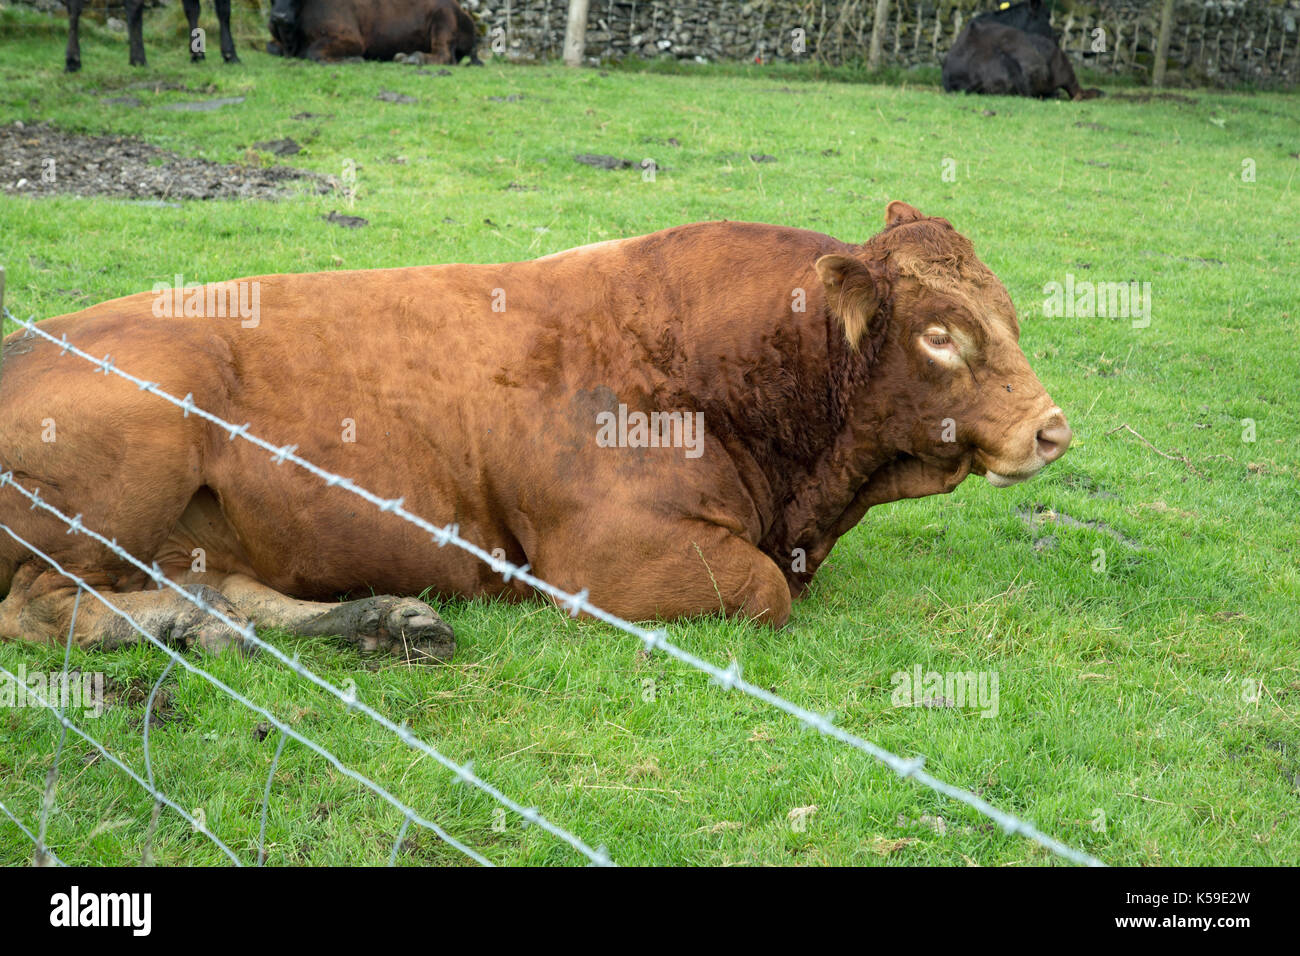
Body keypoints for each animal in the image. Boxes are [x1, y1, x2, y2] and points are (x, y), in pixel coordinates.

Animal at [0, 203, 1071, 663]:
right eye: (941, 334)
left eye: (1011, 315)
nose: (1052, 430)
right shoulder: (610, 558)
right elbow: (765, 593)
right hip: (134, 456)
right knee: (43, 606)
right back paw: (178, 625)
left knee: (220, 586)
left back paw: (374, 621)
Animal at [64, 0, 239, 73]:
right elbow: (223, 10)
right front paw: (230, 55)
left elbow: (192, 9)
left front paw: (197, 54)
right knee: (133, 5)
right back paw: (139, 59)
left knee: (73, 6)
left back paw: (73, 61)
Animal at [266, 0, 481, 65]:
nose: (279, 16)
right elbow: (271, 47)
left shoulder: (352, 40)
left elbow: (313, 53)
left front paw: (354, 60)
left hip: (442, 20)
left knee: (444, 56)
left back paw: (413, 58)